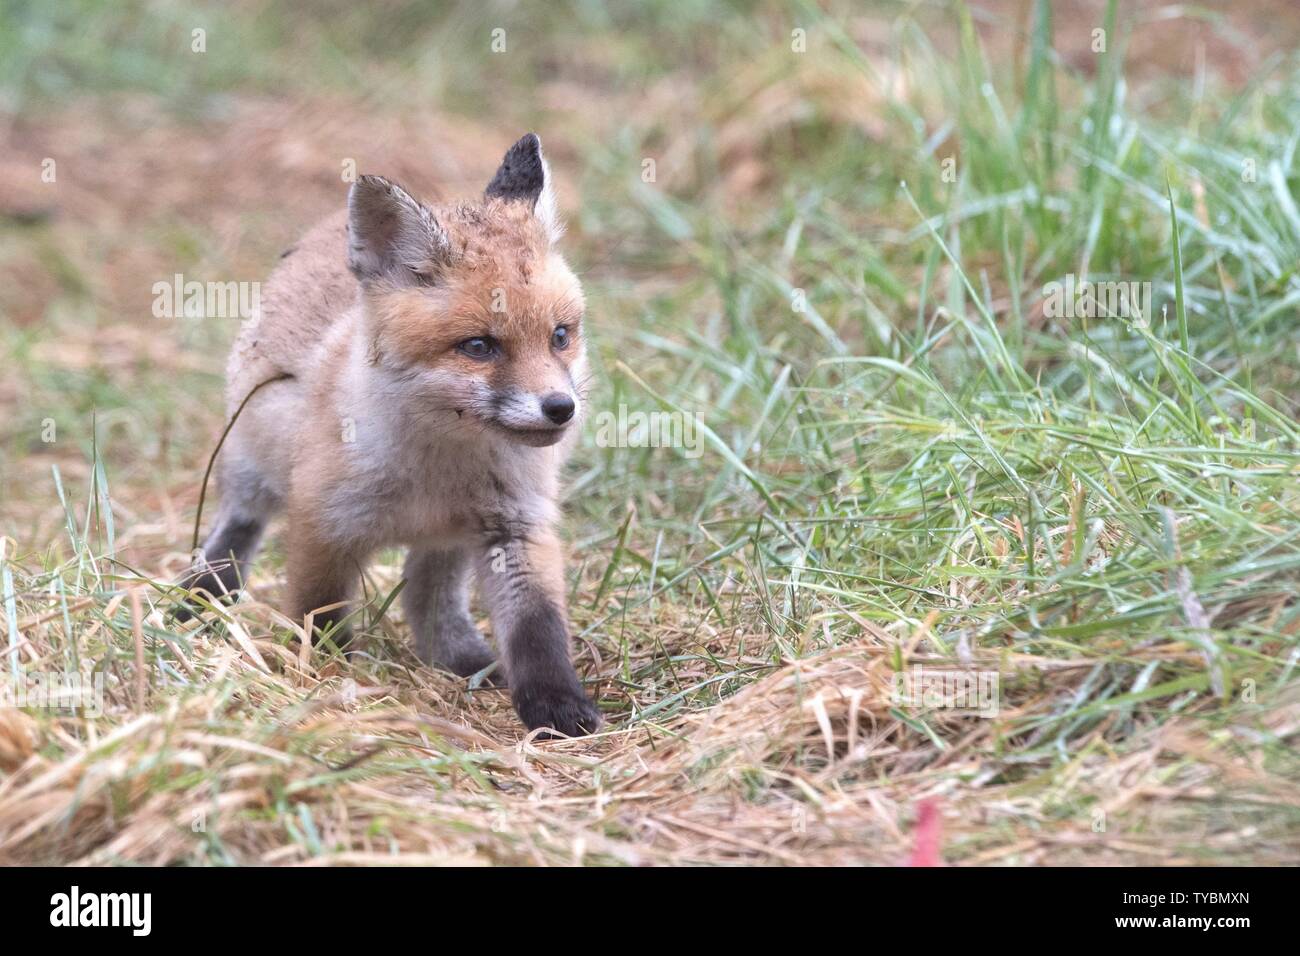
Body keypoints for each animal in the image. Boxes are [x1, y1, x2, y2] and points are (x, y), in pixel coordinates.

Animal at [180, 133, 601, 737]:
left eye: (560, 336)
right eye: (479, 347)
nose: (560, 409)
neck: (439, 466)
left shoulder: (517, 525)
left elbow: (537, 628)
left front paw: (556, 703)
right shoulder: (324, 523)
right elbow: (319, 614)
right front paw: (325, 681)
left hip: (452, 541)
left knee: (427, 596)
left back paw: (460, 658)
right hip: (250, 473)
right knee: (232, 535)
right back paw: (199, 600)